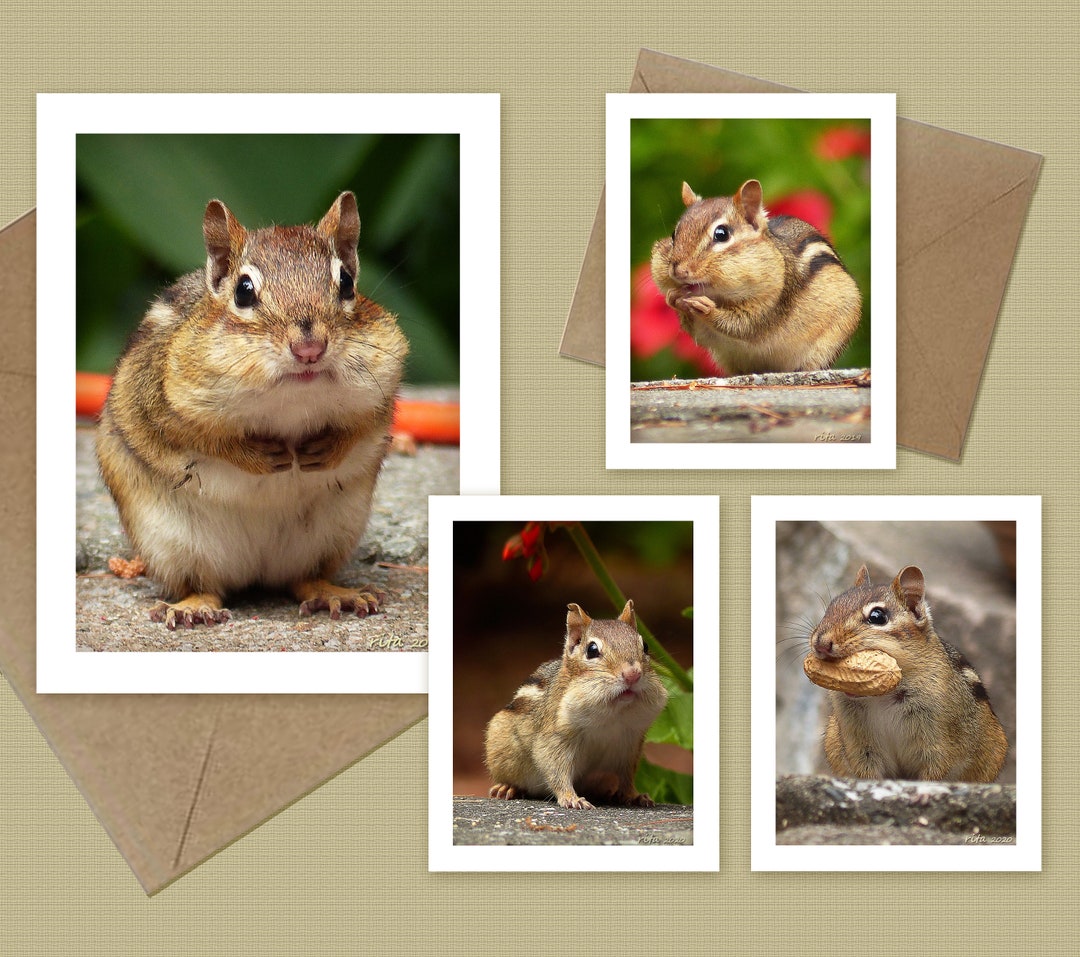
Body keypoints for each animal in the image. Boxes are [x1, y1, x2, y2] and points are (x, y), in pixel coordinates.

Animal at [95, 192, 408, 630]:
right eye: (243, 291)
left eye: (346, 282)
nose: (309, 349)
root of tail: (257, 571)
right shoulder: (154, 399)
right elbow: (197, 437)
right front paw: (257, 456)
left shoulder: (384, 381)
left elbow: (363, 426)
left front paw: (325, 449)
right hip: (172, 544)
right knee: (203, 584)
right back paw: (192, 607)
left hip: (331, 535)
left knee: (305, 579)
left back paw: (336, 594)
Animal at [484, 600, 669, 809]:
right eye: (592, 650)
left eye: (645, 646)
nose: (632, 674)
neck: (612, 716)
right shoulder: (554, 739)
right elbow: (556, 769)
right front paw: (571, 798)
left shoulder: (629, 747)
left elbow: (627, 778)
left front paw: (634, 796)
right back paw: (507, 787)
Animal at [650, 179, 861, 376]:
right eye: (674, 234)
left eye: (721, 234)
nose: (678, 271)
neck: (721, 296)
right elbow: (698, 333)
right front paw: (674, 298)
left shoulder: (773, 302)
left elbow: (744, 325)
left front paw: (707, 309)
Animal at [807, 565, 1008, 783]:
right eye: (831, 606)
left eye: (877, 617)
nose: (821, 643)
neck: (881, 696)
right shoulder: (860, 746)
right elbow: (868, 773)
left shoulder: (939, 743)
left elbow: (935, 773)